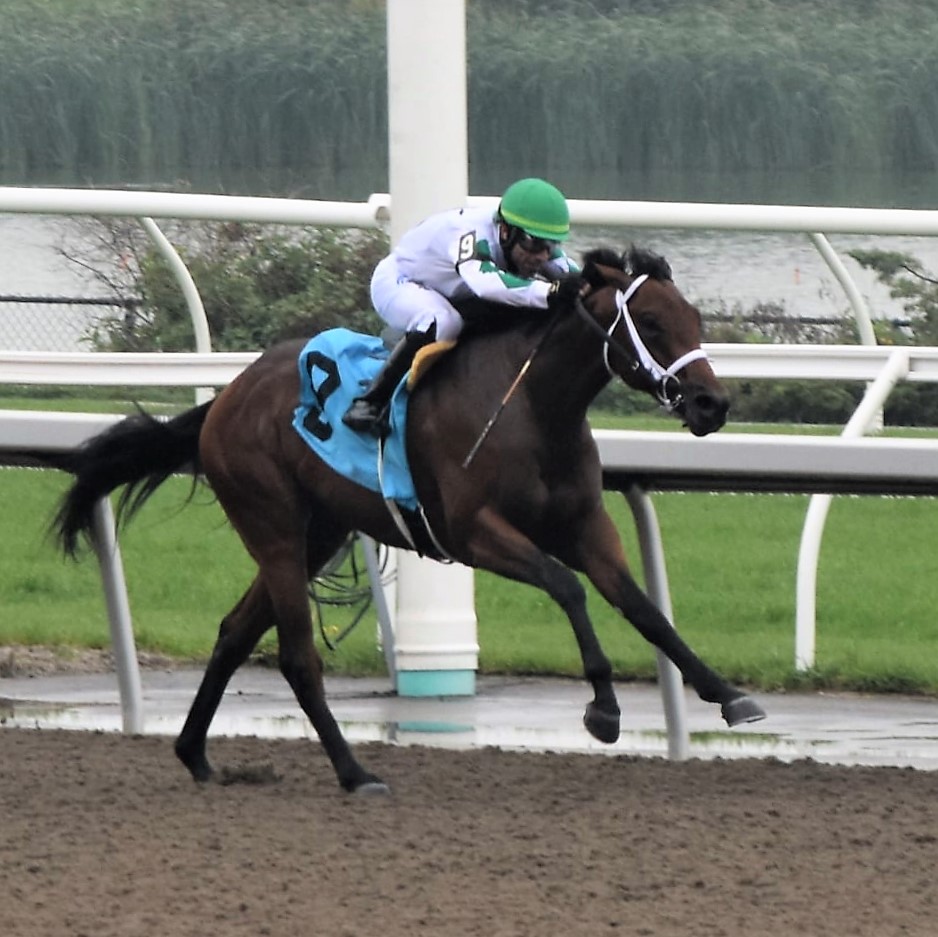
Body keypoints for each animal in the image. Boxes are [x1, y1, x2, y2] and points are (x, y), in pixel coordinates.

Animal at [47, 245, 765, 795]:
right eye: (650, 320)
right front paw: (605, 708)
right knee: (296, 656)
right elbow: (567, 586)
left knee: (232, 632)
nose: (713, 403)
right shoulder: (473, 532)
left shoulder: (585, 525)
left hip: (319, 532)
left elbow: (644, 607)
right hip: (273, 525)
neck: (532, 406)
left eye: (694, 316)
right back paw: (354, 771)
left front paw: (728, 694)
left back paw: (195, 752)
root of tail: (224, 398)